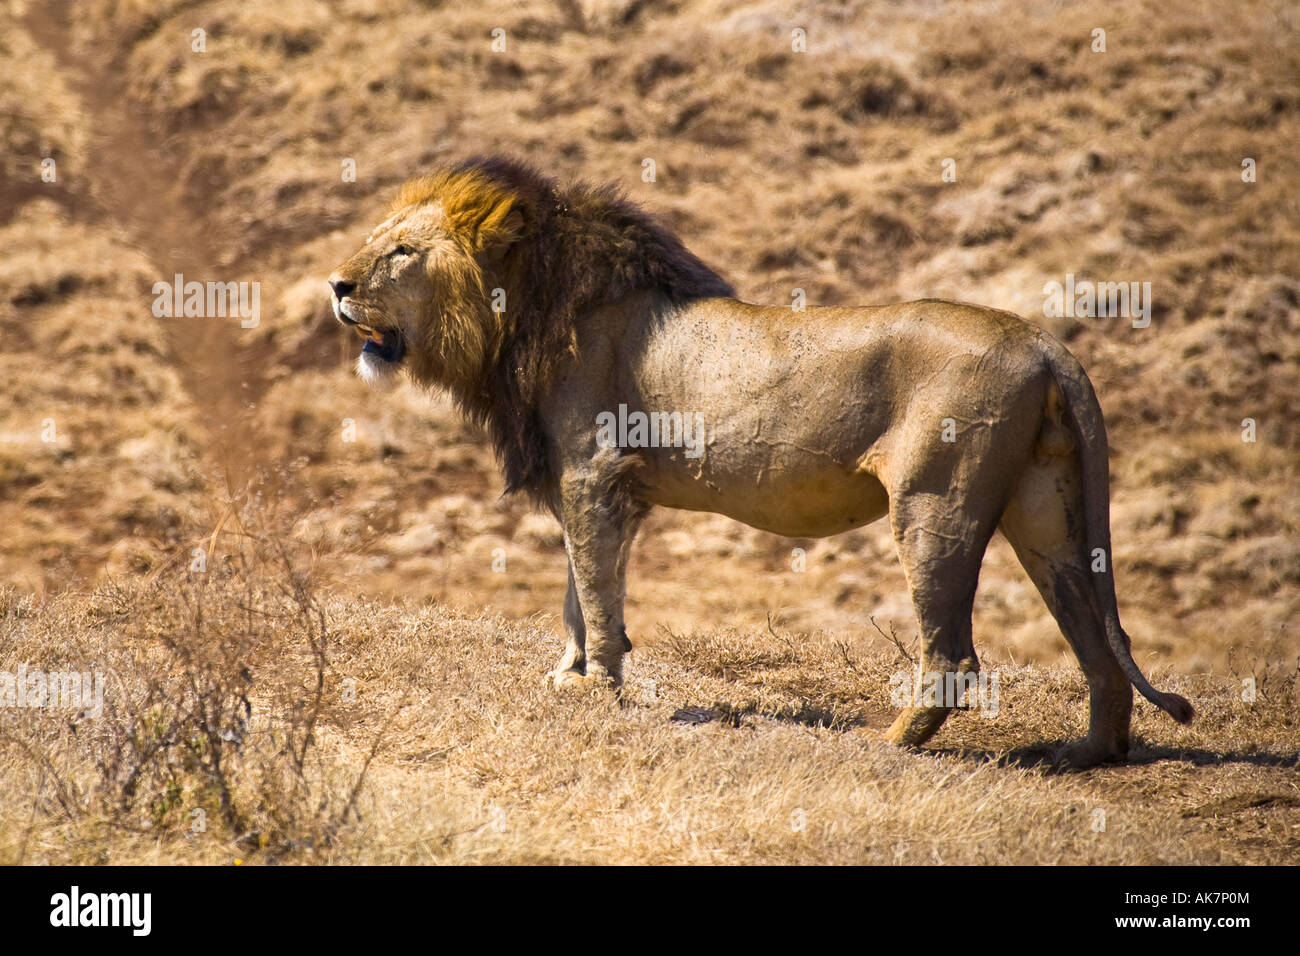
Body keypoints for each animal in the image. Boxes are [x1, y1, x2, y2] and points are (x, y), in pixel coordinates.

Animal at [328, 156, 1193, 768]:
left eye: (401, 252)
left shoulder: (591, 473)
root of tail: (1044, 342)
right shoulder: (606, 488)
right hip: (1046, 509)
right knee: (1094, 642)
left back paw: (890, 743)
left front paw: (599, 689)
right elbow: (579, 590)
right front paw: (571, 675)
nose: (336, 285)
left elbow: (594, 593)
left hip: (935, 504)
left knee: (953, 653)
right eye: (376, 241)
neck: (518, 315)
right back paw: (1087, 755)